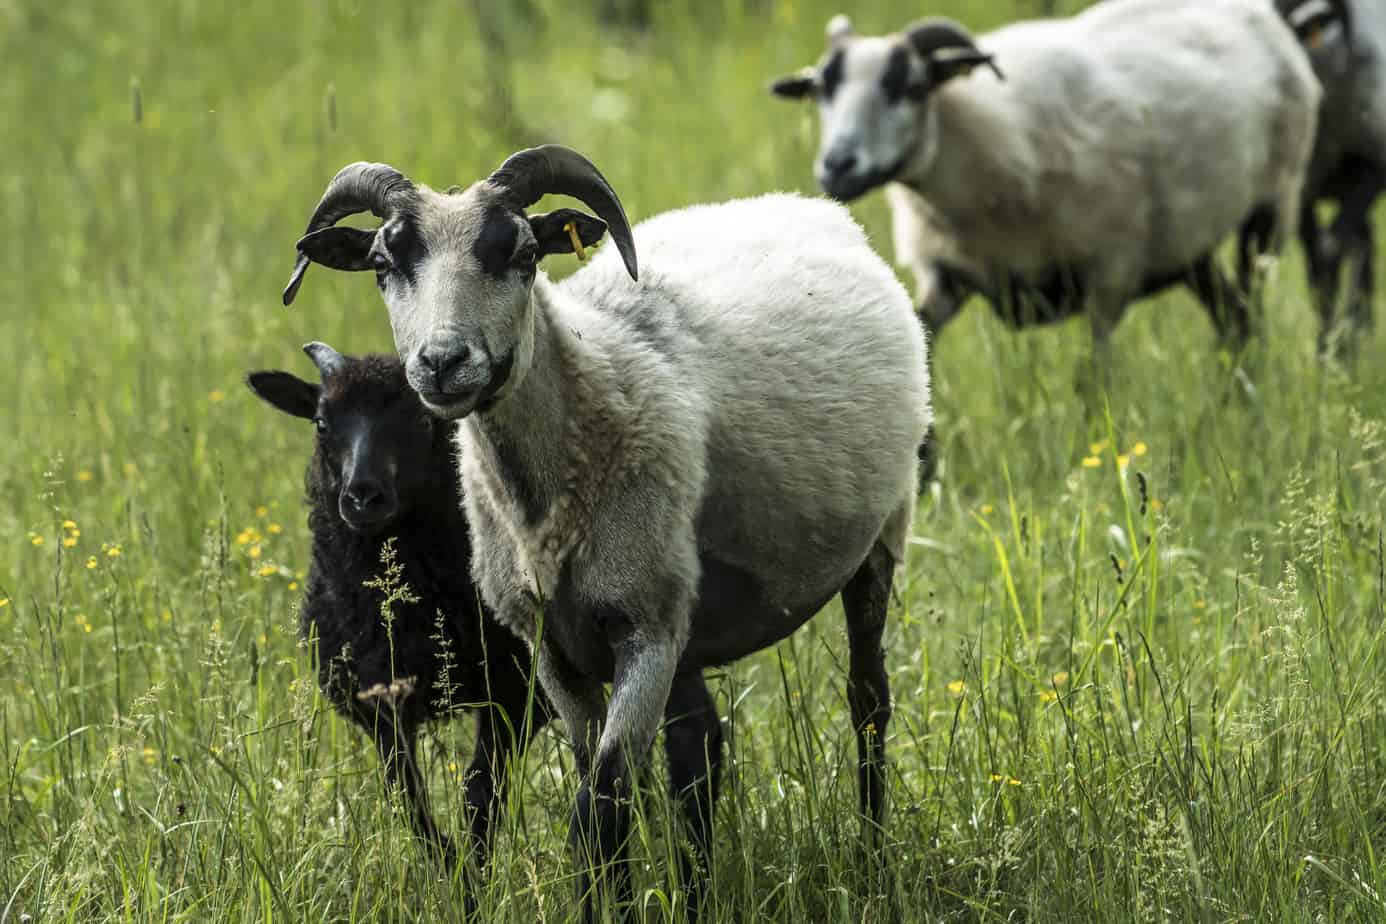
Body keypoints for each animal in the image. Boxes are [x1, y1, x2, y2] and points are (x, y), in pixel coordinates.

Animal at [245, 342, 547, 875]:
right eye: (321, 421)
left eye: (424, 418)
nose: (363, 496)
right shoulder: (379, 701)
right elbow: (406, 797)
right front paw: (449, 867)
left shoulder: (515, 693)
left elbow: (479, 791)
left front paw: (474, 877)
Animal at [280, 145, 930, 919]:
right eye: (383, 261)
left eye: (523, 253)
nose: (442, 363)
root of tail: (808, 206)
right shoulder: (552, 645)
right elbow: (604, 789)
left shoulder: (643, 630)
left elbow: (603, 803)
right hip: (681, 599)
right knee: (699, 748)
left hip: (875, 539)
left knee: (867, 702)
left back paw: (873, 857)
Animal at [771, 1, 1321, 363]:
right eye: (820, 90)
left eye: (911, 87)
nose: (837, 166)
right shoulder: (946, 278)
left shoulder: (1110, 273)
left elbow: (1093, 379)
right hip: (1189, 243)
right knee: (1232, 317)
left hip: (1272, 206)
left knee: (1251, 308)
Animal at [1270, 0, 1385, 352]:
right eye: (1363, 54)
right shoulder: (1300, 188)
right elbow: (1317, 265)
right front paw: (1326, 348)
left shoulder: (1371, 166)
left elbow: (1332, 249)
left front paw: (1338, 345)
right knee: (1363, 240)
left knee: (1359, 243)